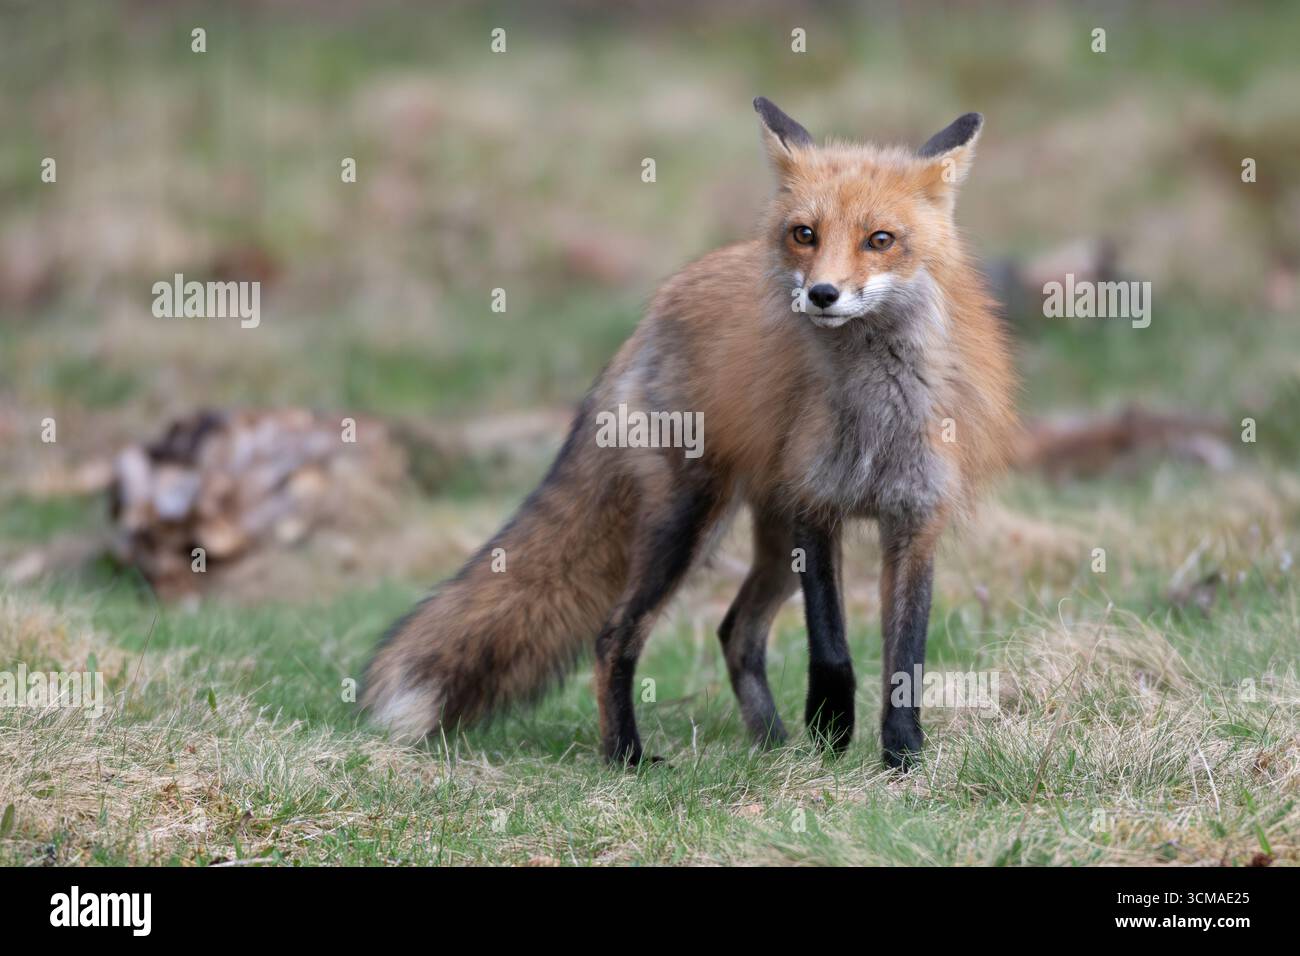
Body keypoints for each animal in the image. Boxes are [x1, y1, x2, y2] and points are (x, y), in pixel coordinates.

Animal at [362, 97, 1018, 770]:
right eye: (804, 234)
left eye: (880, 240)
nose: (822, 293)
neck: (874, 417)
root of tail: (658, 307)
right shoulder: (815, 509)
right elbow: (832, 649)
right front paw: (831, 734)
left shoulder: (915, 520)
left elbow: (906, 659)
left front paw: (901, 755)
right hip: (690, 522)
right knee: (615, 635)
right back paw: (627, 755)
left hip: (770, 545)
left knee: (735, 632)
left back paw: (770, 742)